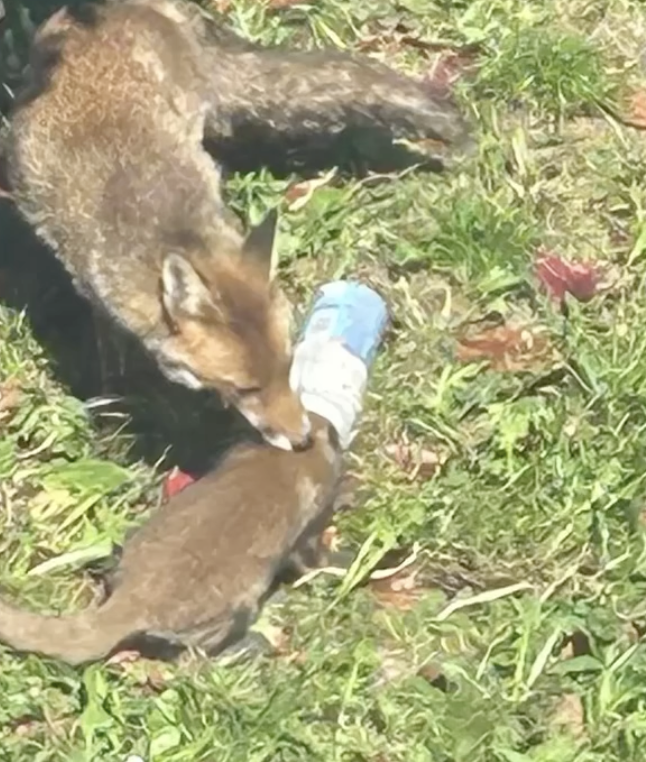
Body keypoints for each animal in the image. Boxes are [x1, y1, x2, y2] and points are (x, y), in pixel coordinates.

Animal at [5, 0, 473, 450]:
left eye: (289, 365)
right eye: (246, 388)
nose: (304, 440)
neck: (162, 219)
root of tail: (114, 7)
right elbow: (108, 341)